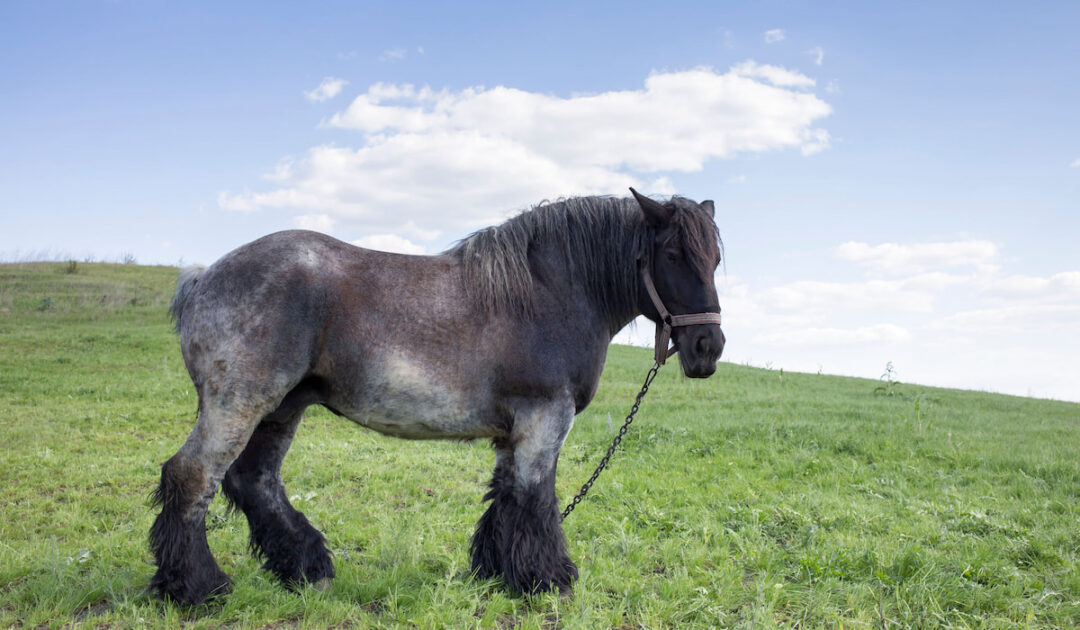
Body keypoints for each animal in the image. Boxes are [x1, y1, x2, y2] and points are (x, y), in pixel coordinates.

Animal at [149, 188, 725, 605]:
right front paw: (549, 580)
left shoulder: (514, 430)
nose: (709, 348)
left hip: (281, 409)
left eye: (716, 259)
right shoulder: (545, 419)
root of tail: (203, 277)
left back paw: (307, 568)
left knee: (254, 481)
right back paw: (197, 587)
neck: (553, 290)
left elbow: (505, 498)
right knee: (193, 477)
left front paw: (496, 573)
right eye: (674, 253)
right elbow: (537, 500)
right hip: (239, 405)